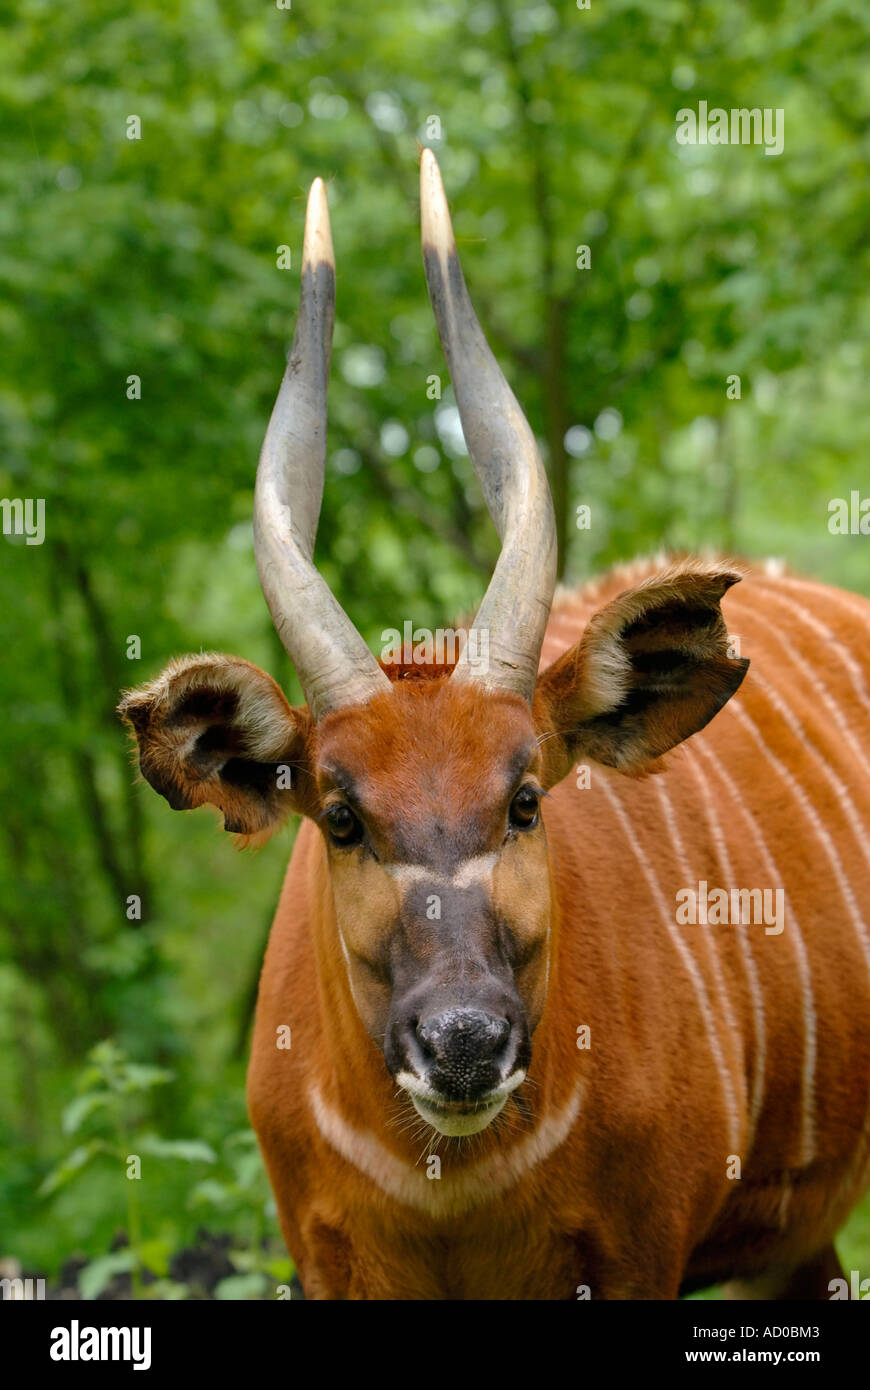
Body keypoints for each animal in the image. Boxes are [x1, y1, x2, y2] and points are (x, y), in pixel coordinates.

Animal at [120, 152, 870, 1299]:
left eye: (524, 798)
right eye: (341, 817)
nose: (465, 1041)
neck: (451, 1190)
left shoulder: (642, 1253)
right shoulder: (327, 1260)